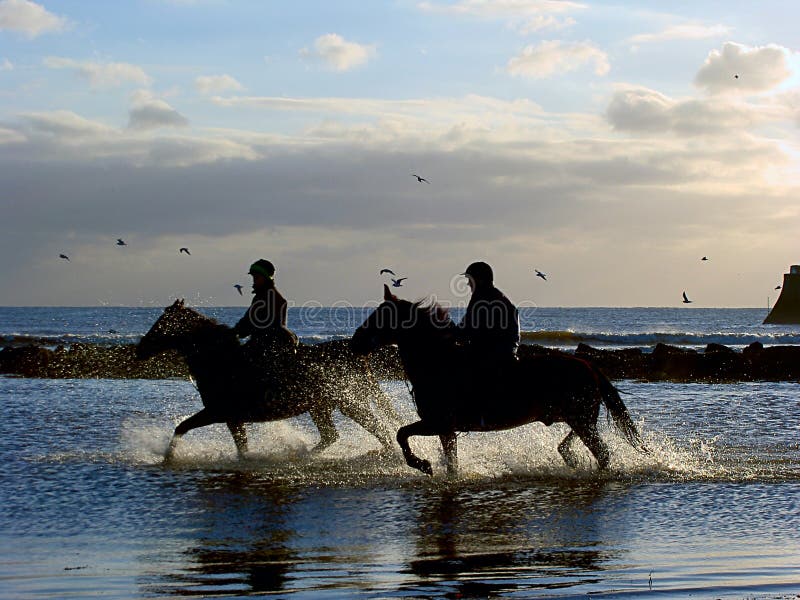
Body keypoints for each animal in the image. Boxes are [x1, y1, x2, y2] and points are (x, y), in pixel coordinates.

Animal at [136, 299, 398, 460]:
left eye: (161, 324)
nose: (140, 349)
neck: (219, 361)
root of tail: (354, 352)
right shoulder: (232, 418)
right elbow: (241, 447)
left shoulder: (217, 412)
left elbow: (183, 427)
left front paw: (168, 456)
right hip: (320, 406)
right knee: (331, 435)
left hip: (346, 402)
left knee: (377, 427)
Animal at [351, 285, 648, 477]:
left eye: (382, 316)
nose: (356, 342)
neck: (439, 363)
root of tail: (589, 366)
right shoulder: (445, 429)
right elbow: (451, 463)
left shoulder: (438, 422)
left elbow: (401, 434)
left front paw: (422, 464)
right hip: (579, 418)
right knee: (575, 445)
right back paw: (571, 458)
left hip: (582, 420)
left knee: (603, 453)